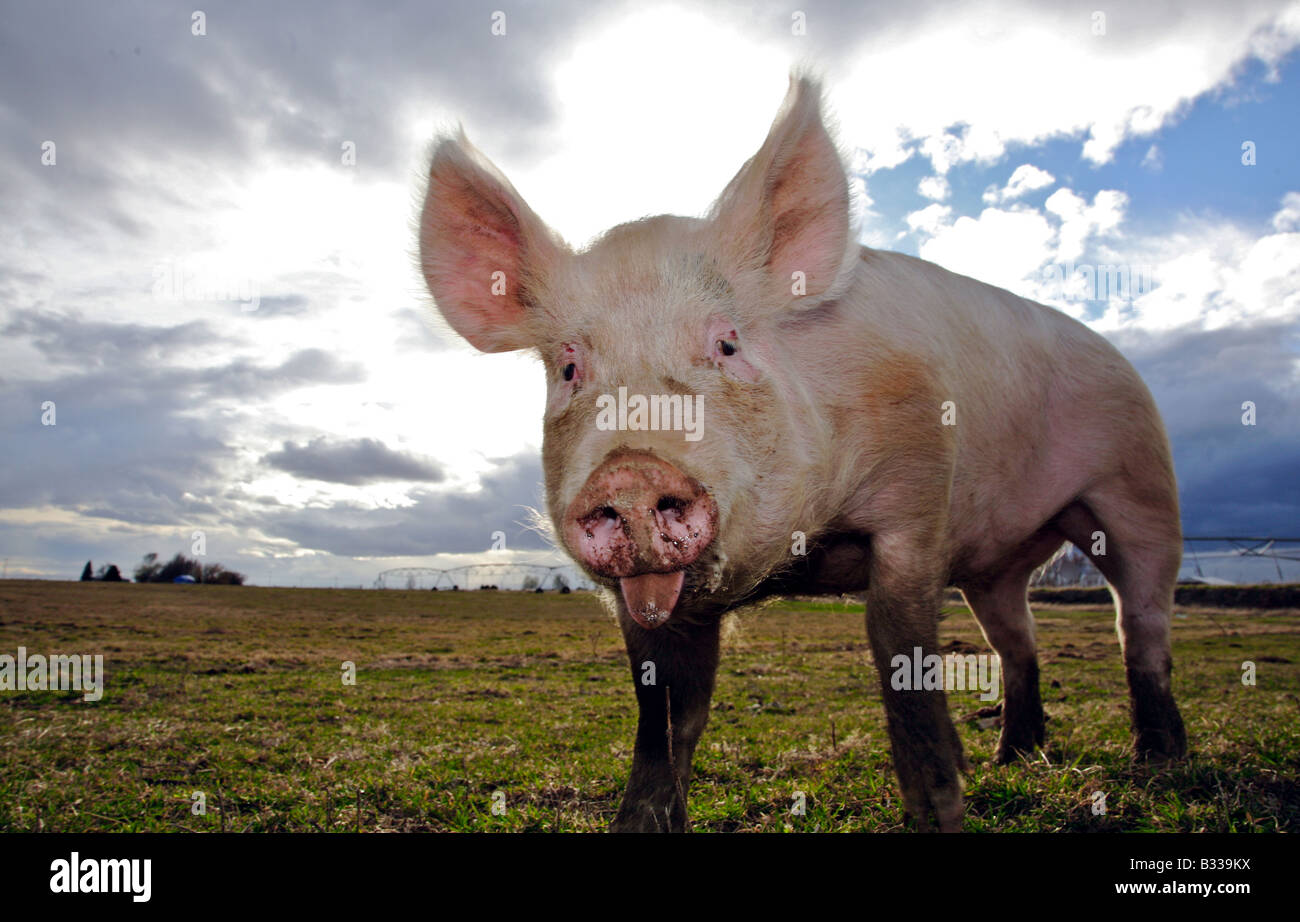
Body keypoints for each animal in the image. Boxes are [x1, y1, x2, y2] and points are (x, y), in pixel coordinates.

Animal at [416, 75, 1187, 832]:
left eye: (728, 344)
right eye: (569, 367)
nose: (630, 471)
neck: (805, 547)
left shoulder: (916, 504)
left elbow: (906, 673)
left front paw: (940, 810)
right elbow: (665, 717)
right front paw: (644, 821)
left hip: (1139, 482)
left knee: (1138, 620)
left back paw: (1159, 762)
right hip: (997, 565)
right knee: (1017, 638)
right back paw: (1015, 758)